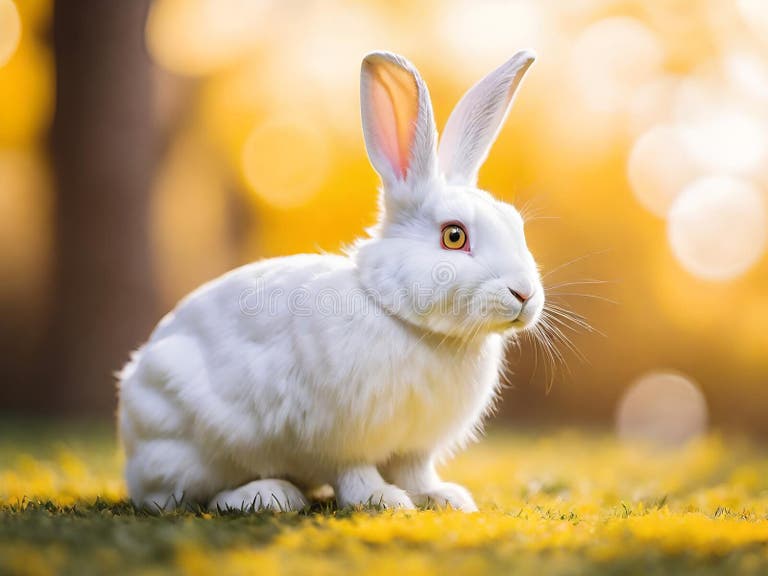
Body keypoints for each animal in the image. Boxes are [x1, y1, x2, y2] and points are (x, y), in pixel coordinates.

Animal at [118, 49, 543, 513]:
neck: (404, 319)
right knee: (189, 496)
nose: (524, 293)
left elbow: (416, 471)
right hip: (193, 443)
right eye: (454, 236)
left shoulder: (415, 446)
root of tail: (132, 452)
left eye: (518, 226)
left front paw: (445, 497)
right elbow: (354, 473)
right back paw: (270, 496)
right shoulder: (339, 439)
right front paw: (384, 500)